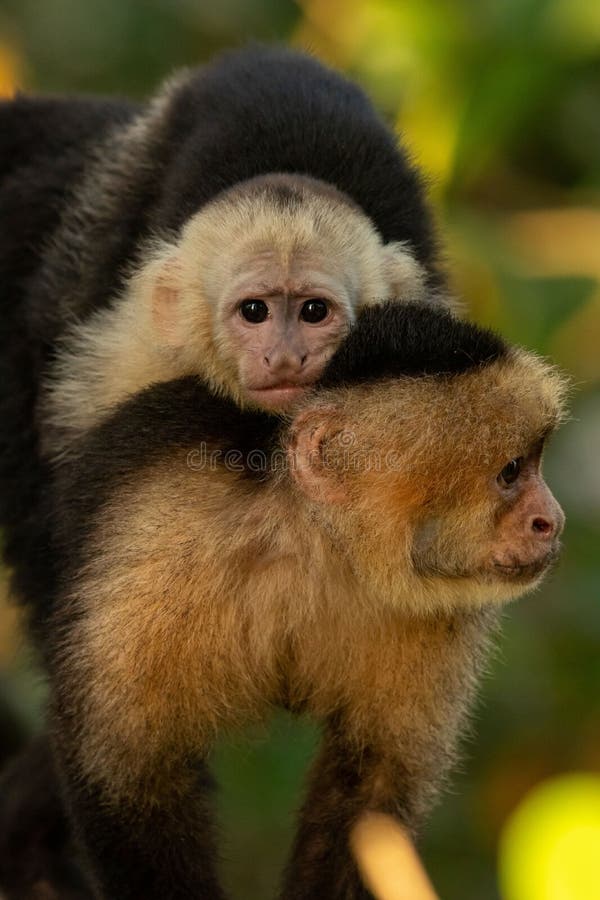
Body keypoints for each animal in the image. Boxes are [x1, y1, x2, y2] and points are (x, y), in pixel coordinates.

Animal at [0, 296, 567, 899]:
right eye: (510, 473)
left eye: (532, 464)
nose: (551, 520)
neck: (312, 541)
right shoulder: (162, 542)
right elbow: (127, 769)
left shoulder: (434, 606)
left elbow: (372, 790)